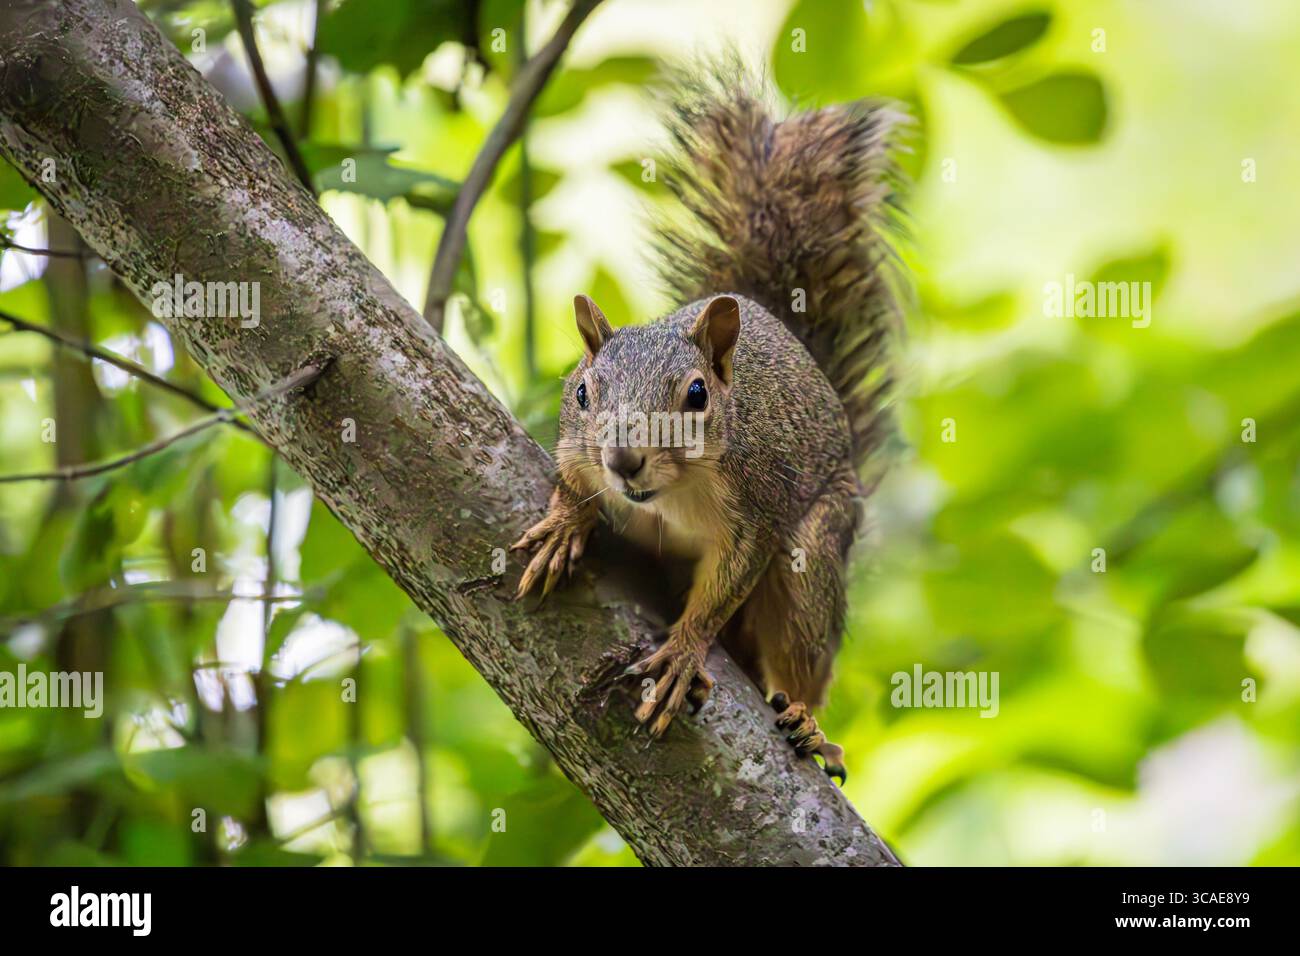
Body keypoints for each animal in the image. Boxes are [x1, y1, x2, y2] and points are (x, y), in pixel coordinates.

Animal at [511, 65, 904, 783]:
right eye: (581, 392)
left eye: (696, 395)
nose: (623, 461)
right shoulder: (575, 450)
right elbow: (571, 481)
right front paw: (563, 526)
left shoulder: (758, 507)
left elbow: (723, 589)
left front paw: (684, 652)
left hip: (816, 550)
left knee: (804, 653)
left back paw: (807, 721)